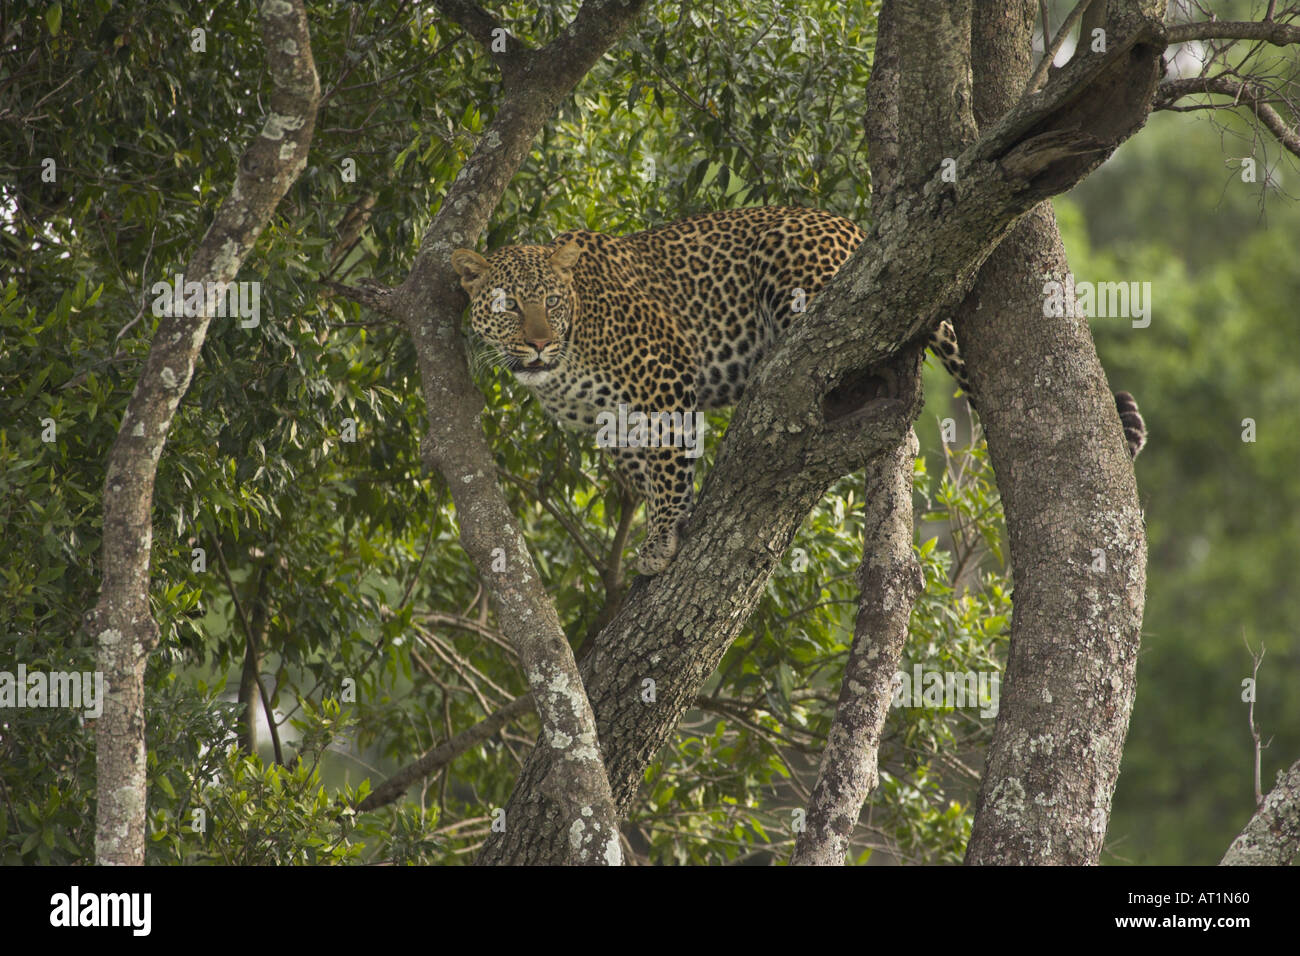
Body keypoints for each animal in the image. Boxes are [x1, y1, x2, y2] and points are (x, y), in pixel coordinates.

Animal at [451, 206, 1145, 575]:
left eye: (551, 302)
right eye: (508, 307)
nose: (538, 344)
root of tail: (855, 227)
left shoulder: (663, 373)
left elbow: (668, 470)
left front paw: (661, 540)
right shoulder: (614, 420)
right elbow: (648, 470)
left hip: (795, 267)